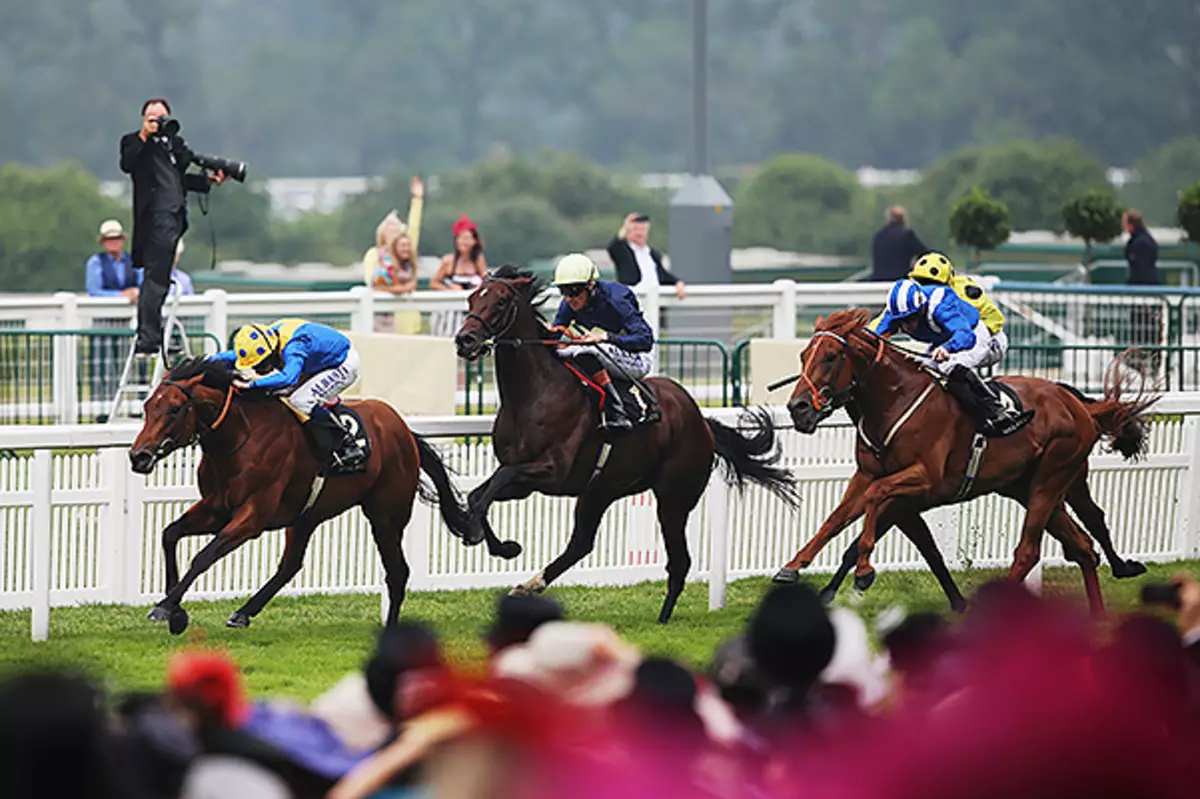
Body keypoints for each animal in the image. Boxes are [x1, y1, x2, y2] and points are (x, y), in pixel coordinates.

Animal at [129, 357, 489, 633]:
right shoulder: (217, 508)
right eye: (147, 406)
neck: (240, 436)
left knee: (398, 572)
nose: (139, 456)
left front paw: (166, 607)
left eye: (175, 409)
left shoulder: (253, 516)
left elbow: (204, 556)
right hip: (305, 515)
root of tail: (403, 430)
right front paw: (173, 607)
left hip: (386, 515)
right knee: (290, 565)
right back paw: (244, 612)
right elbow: (169, 534)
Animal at [451, 263, 796, 619]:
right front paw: (499, 544)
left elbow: (496, 481)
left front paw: (485, 537)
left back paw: (663, 617)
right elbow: (480, 493)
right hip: (600, 490)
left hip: (674, 497)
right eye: (472, 298)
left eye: (501, 301)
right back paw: (530, 584)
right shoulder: (524, 481)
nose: (465, 340)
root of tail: (702, 422)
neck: (532, 395)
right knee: (582, 543)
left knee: (679, 560)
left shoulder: (551, 471)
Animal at [772, 307, 1156, 611]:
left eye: (831, 356)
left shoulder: (922, 479)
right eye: (804, 356)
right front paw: (793, 567)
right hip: (1029, 486)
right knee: (1082, 546)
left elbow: (873, 504)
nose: (798, 408)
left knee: (1030, 551)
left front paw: (864, 572)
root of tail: (1076, 403)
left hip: (1052, 477)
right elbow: (839, 519)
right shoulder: (874, 481)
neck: (893, 402)